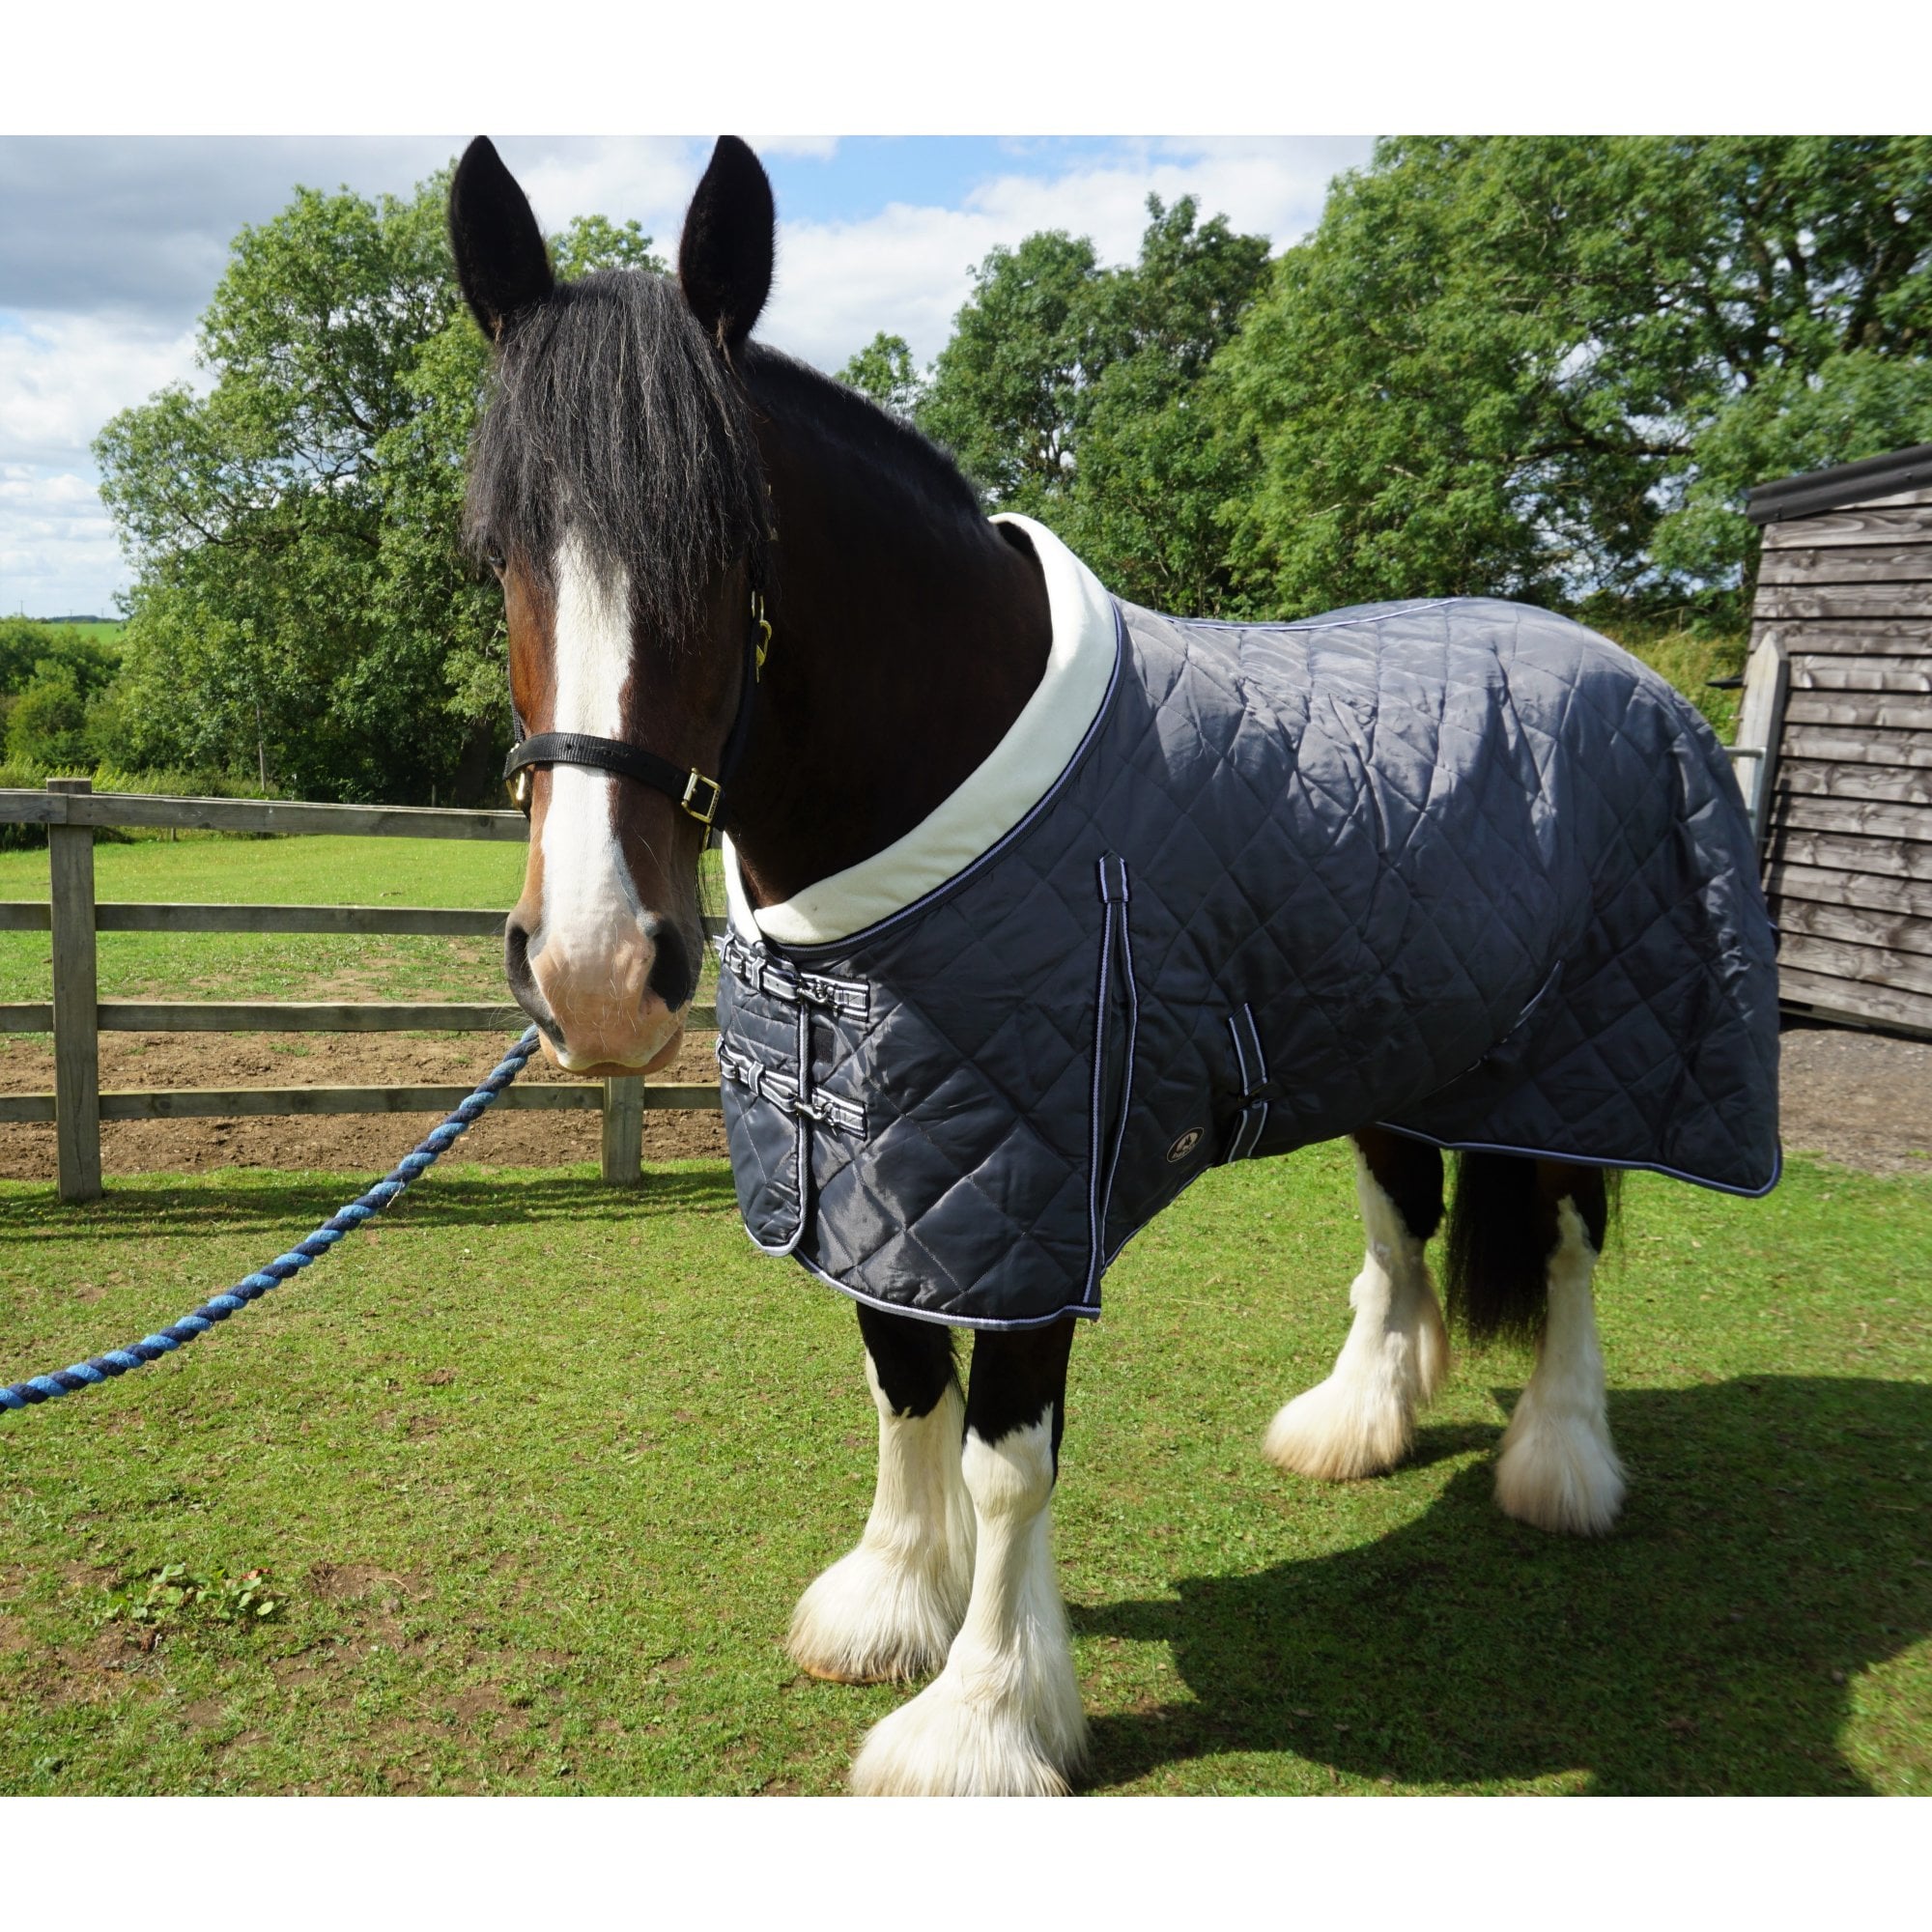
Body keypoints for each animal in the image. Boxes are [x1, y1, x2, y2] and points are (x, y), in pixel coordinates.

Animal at [448, 135, 1781, 1796]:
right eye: (494, 553)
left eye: (735, 550)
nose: (595, 968)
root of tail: (1629, 674)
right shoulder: (886, 1179)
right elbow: (902, 1384)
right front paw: (891, 1600)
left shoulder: (1029, 1197)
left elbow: (1006, 1456)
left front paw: (983, 1717)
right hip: (1398, 1040)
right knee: (1403, 1217)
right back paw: (1364, 1413)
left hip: (1597, 1060)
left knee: (1569, 1242)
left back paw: (1561, 1461)